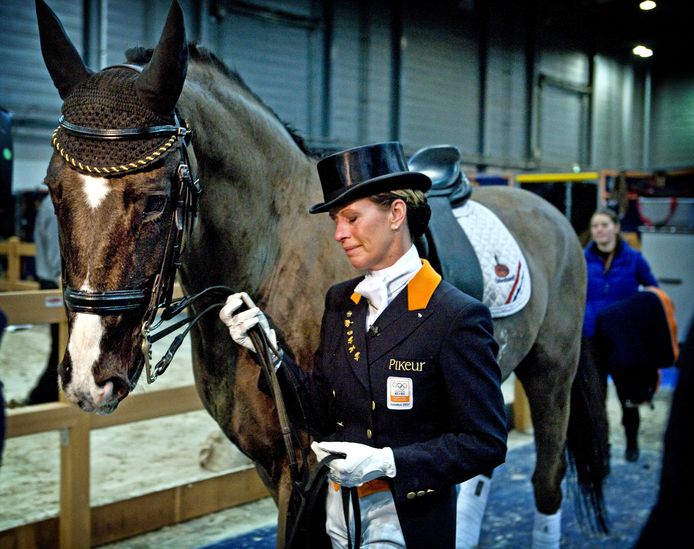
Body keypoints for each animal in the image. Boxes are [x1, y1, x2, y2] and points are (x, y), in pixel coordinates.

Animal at [35, 0, 609, 546]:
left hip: (551, 372)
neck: (272, 256)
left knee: (547, 481)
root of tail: (554, 214)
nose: (88, 376)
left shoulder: (308, 468)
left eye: (156, 200)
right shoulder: (273, 467)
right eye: (52, 191)